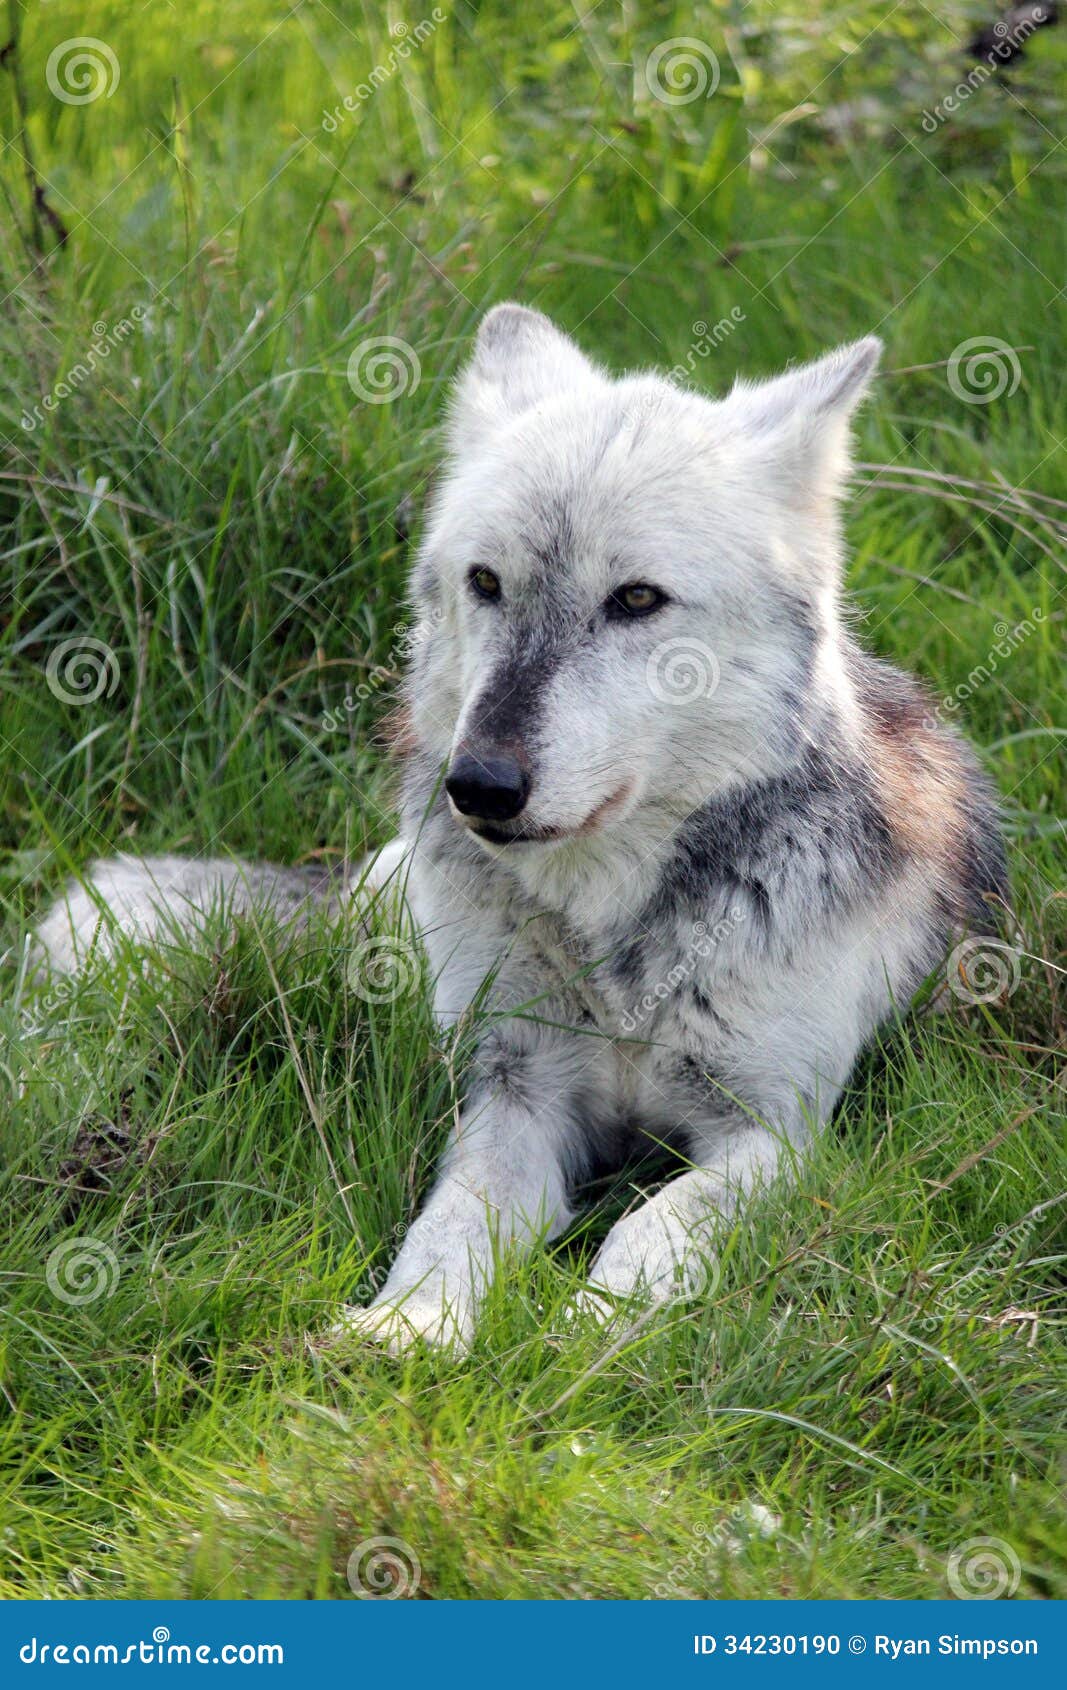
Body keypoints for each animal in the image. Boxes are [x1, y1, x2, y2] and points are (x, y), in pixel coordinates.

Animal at [35, 304, 1008, 1353]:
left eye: (635, 599)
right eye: (486, 583)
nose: (479, 786)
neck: (616, 942)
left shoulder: (772, 1134)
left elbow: (647, 1227)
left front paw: (579, 1339)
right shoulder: (515, 1094)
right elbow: (451, 1221)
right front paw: (407, 1331)